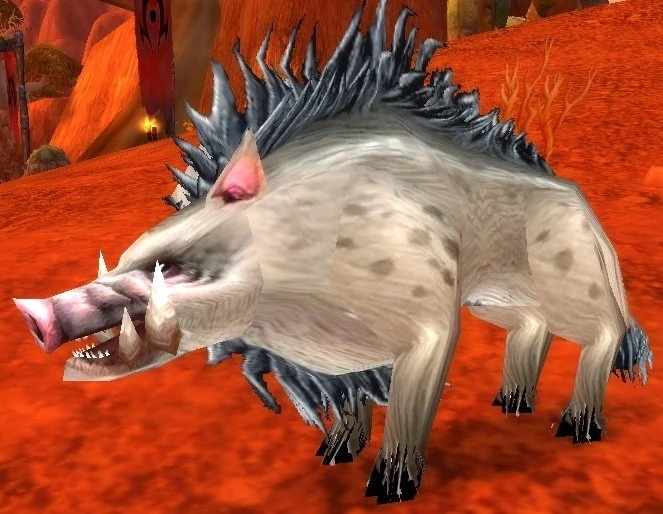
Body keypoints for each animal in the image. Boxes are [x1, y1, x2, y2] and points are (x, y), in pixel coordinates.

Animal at [13, 0, 652, 504]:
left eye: (165, 268)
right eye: (124, 260)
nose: (38, 316)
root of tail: (586, 208)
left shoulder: (425, 313)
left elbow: (410, 399)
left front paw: (392, 484)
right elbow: (352, 398)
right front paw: (337, 449)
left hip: (565, 269)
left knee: (602, 330)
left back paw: (578, 422)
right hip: (498, 296)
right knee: (531, 326)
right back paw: (513, 401)